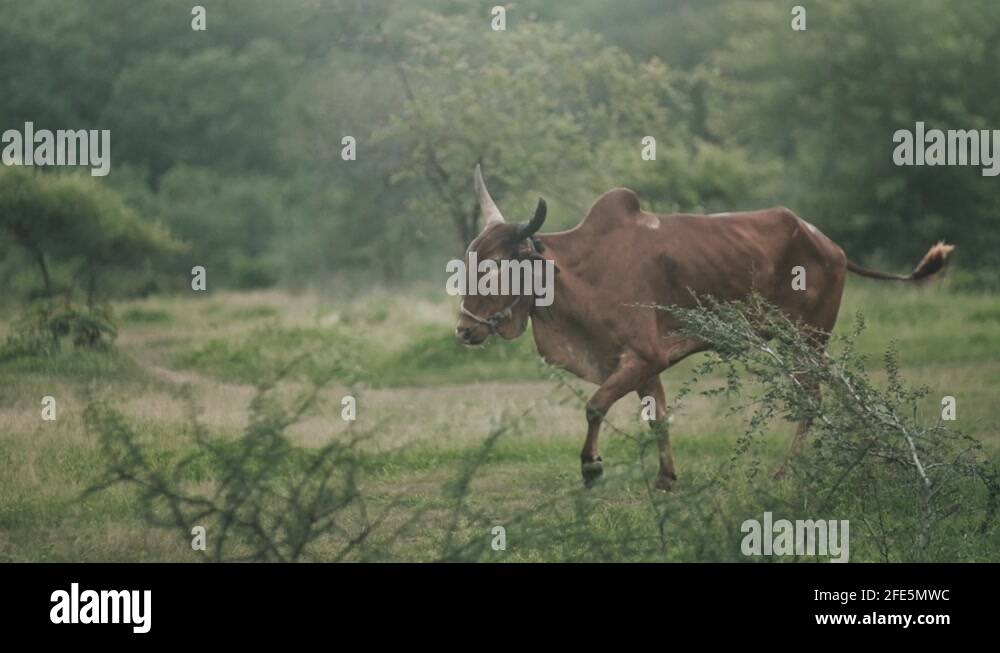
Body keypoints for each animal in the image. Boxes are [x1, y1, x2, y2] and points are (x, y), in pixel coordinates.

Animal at [455, 165, 954, 490]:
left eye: (496, 268)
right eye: (468, 260)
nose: (463, 330)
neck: (579, 272)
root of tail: (831, 245)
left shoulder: (641, 357)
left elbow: (595, 406)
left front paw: (592, 467)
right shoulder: (641, 363)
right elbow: (657, 417)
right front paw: (665, 478)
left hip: (806, 340)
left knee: (811, 396)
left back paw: (787, 471)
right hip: (809, 344)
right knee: (839, 389)